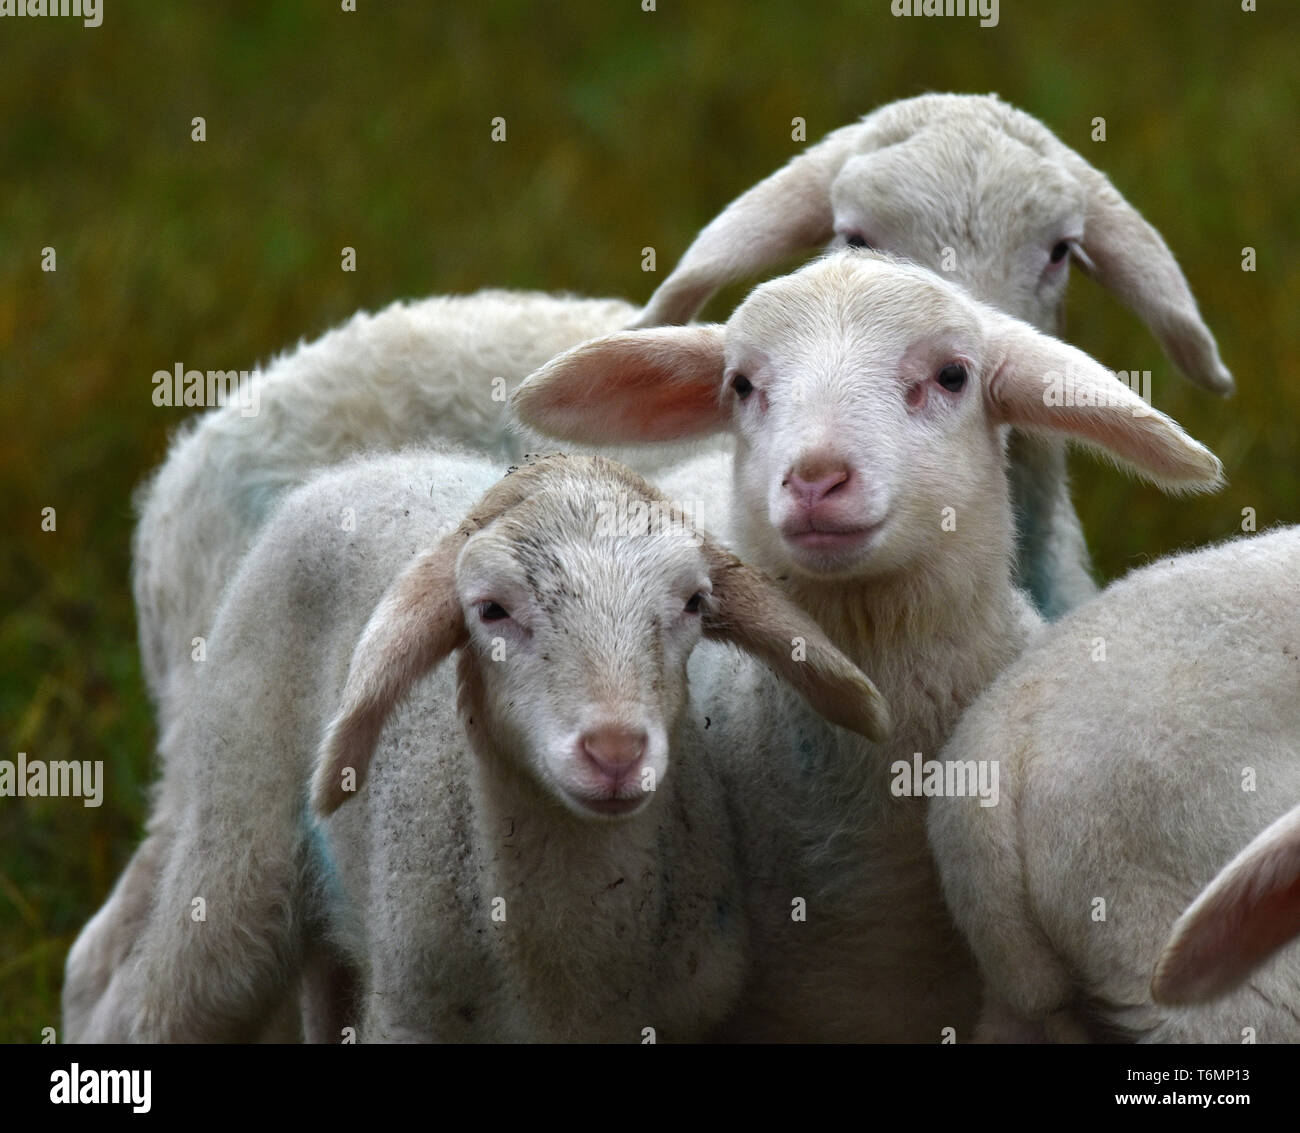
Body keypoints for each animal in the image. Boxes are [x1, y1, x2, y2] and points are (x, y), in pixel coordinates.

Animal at [70, 450, 890, 1042]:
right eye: (491, 611)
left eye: (692, 604)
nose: (615, 751)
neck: (569, 977)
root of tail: (361, 465)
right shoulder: (414, 1021)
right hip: (238, 838)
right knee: (151, 1000)